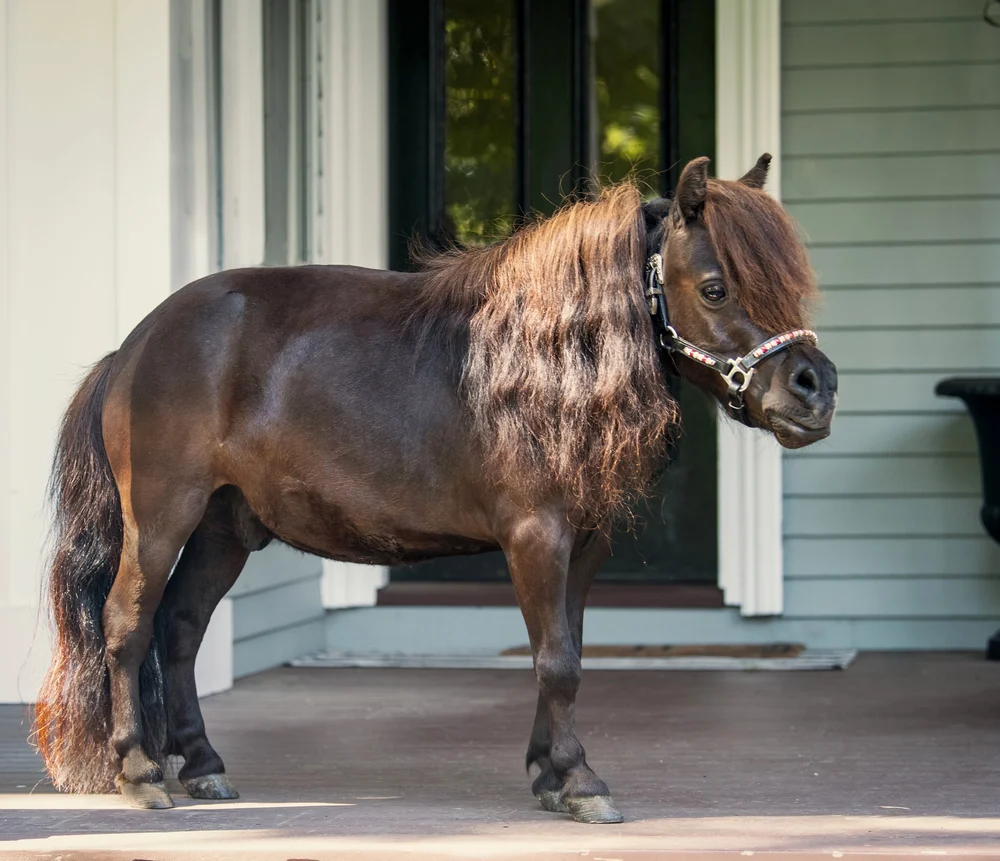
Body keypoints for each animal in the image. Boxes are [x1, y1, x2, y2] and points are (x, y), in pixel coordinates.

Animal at [33, 154, 837, 824]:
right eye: (715, 287)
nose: (817, 389)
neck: (543, 366)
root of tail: (133, 345)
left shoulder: (584, 543)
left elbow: (567, 648)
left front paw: (547, 772)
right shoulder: (536, 536)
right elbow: (557, 660)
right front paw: (579, 781)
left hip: (224, 527)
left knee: (180, 626)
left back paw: (202, 765)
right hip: (162, 516)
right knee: (127, 623)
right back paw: (141, 772)